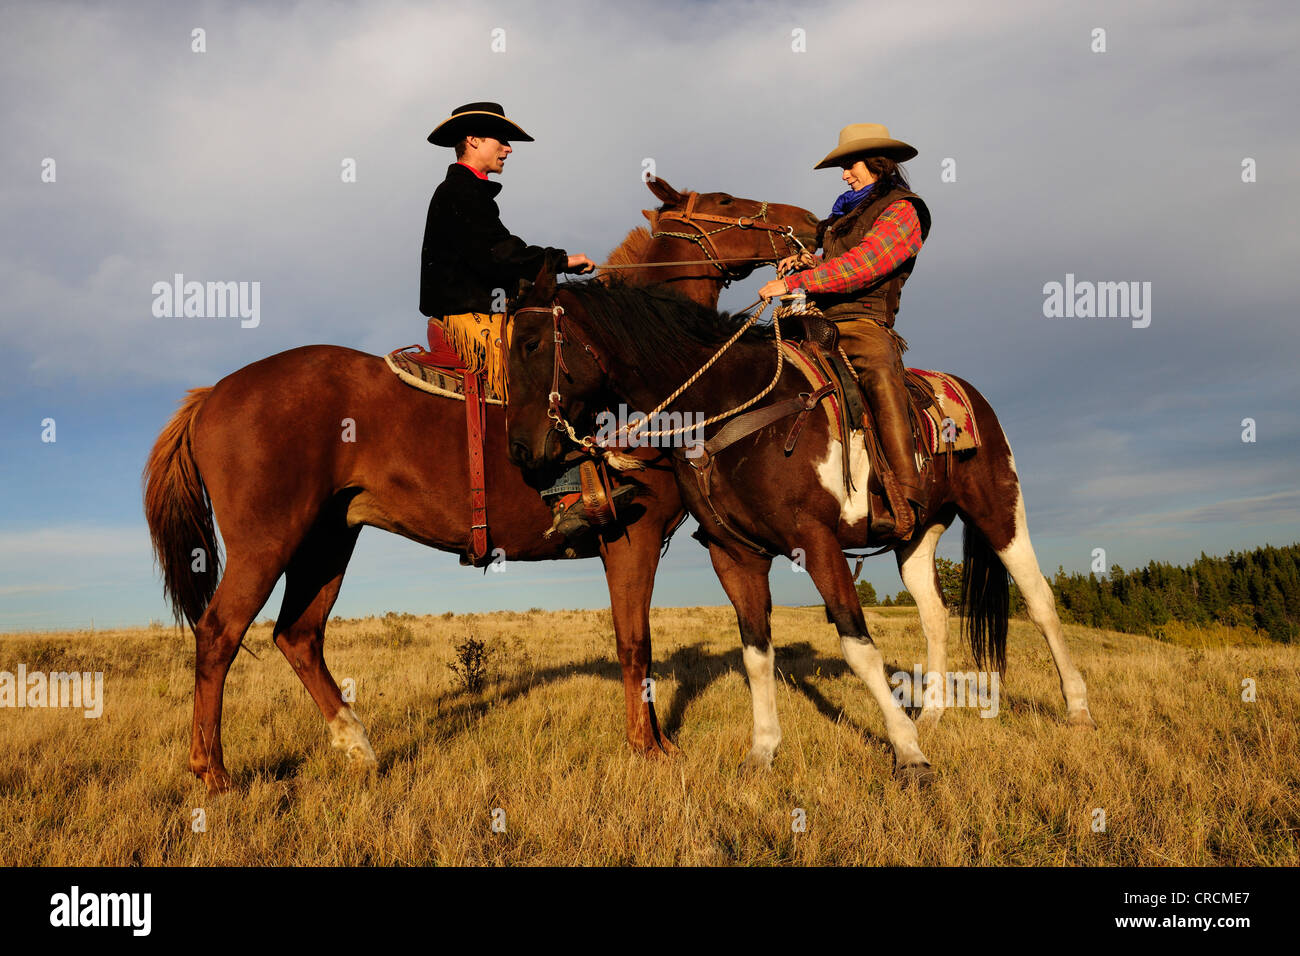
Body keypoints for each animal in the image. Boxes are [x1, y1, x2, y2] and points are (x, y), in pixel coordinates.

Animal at [143, 182, 817, 792]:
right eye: (725, 201)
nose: (805, 222)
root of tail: (212, 395)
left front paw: (653, 744)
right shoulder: (633, 536)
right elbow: (635, 643)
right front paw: (648, 750)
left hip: (328, 539)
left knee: (298, 635)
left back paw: (358, 748)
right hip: (267, 542)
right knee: (219, 634)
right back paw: (213, 774)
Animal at [504, 274, 1097, 784]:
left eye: (530, 345)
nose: (520, 452)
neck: (731, 405)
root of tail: (971, 396)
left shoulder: (814, 540)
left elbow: (858, 645)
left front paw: (908, 753)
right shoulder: (733, 554)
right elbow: (756, 653)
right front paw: (762, 751)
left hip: (1001, 511)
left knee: (1040, 602)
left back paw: (1077, 710)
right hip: (916, 536)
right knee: (934, 615)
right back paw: (932, 714)